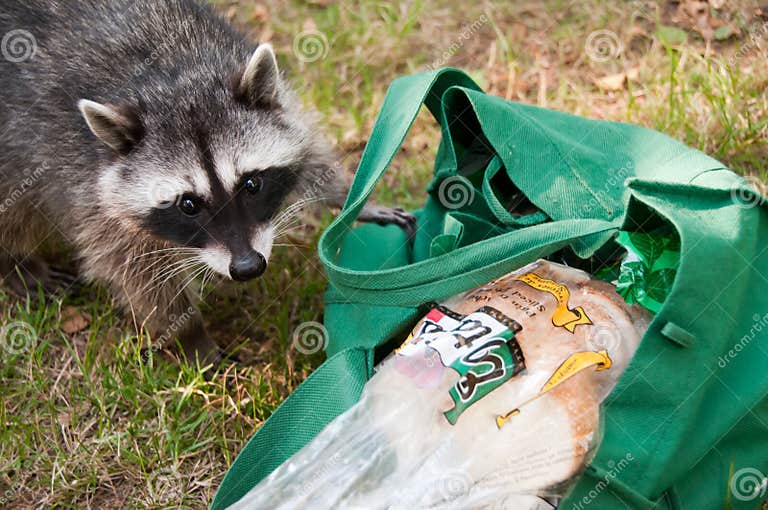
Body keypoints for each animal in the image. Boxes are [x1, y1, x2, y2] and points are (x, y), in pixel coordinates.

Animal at [0, 0, 414, 364]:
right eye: (188, 204)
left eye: (251, 184)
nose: (247, 267)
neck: (170, 77)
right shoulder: (84, 179)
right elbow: (136, 271)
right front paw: (190, 337)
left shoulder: (268, 92)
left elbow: (308, 148)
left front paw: (349, 198)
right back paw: (16, 262)